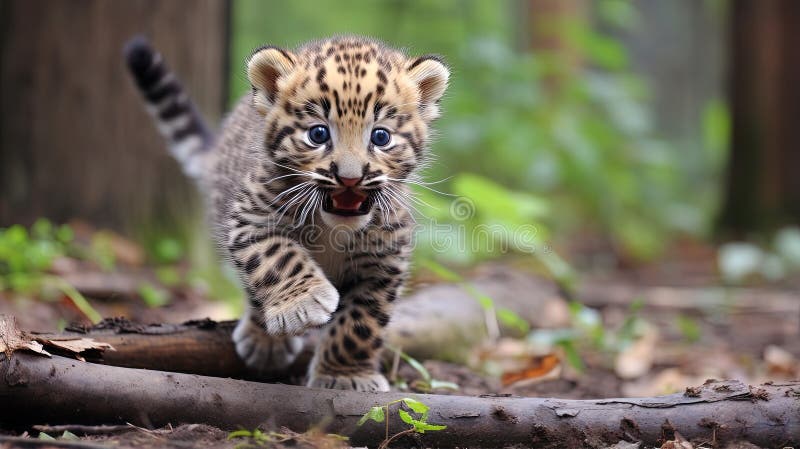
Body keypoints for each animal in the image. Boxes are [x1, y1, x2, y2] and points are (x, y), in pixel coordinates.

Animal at [124, 35, 449, 392]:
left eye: (381, 136)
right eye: (318, 134)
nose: (350, 178)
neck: (335, 227)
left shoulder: (384, 263)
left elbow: (360, 325)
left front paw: (345, 375)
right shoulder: (250, 220)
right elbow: (278, 258)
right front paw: (303, 304)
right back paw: (265, 341)